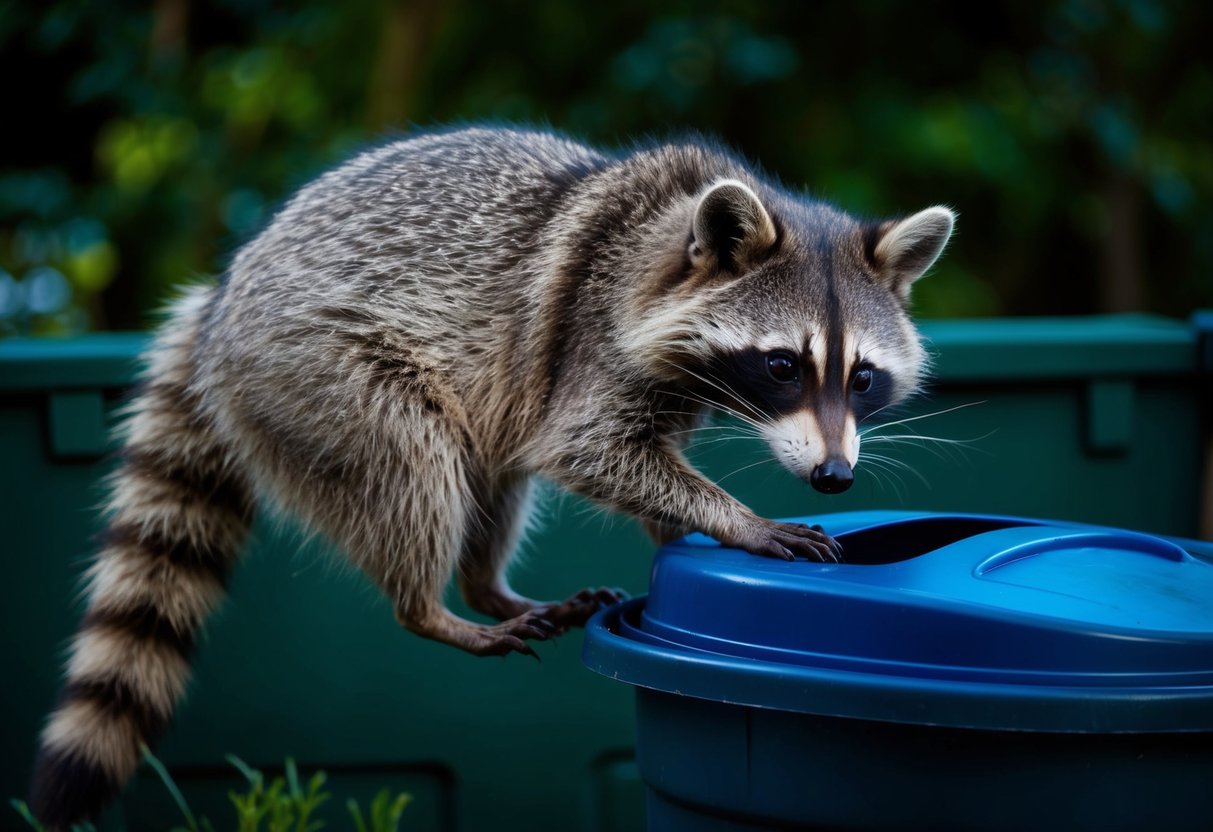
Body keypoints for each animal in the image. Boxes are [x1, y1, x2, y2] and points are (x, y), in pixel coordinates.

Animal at [30, 126, 953, 827]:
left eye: (861, 377)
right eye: (782, 366)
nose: (833, 477)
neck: (668, 233)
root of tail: (219, 301)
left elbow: (619, 460)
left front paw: (683, 530)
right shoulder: (592, 337)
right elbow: (587, 448)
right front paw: (735, 518)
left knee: (494, 479)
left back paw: (485, 585)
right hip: (317, 370)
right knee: (415, 466)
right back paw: (432, 607)